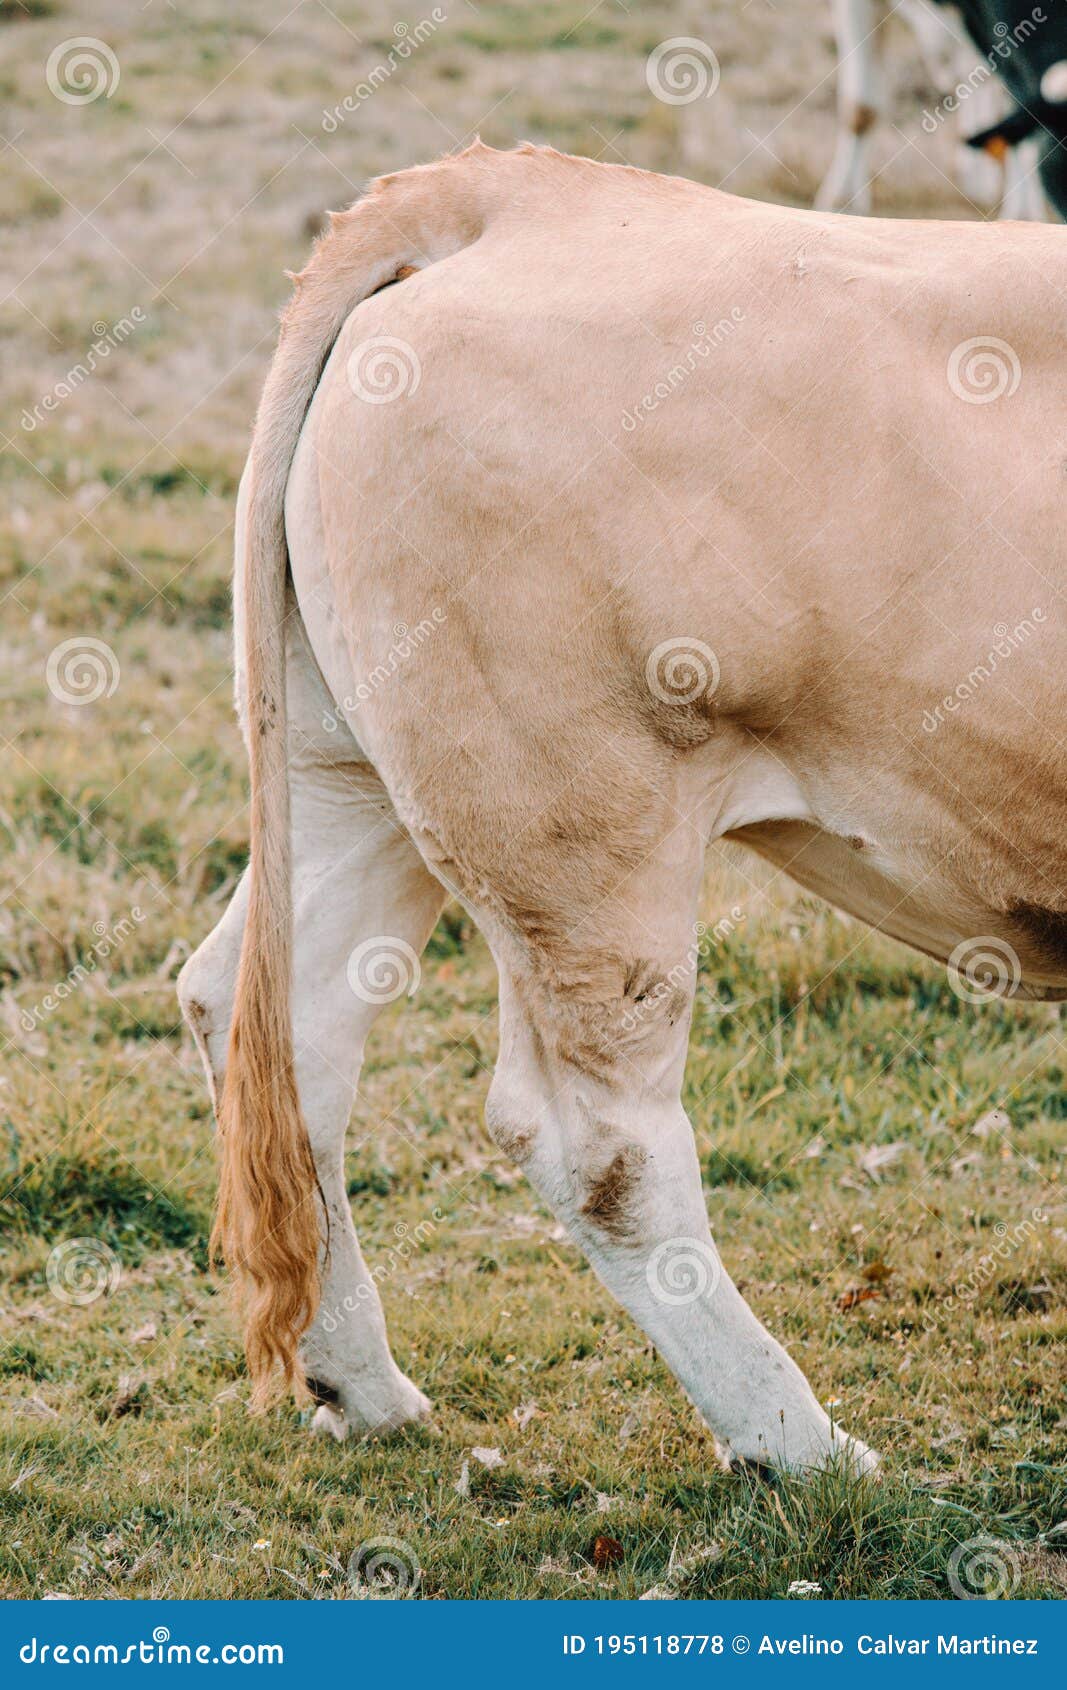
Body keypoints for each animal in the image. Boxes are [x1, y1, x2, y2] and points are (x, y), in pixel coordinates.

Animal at [178, 141, 1067, 1474]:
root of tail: (513, 195)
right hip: (579, 827)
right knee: (597, 1143)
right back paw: (800, 1445)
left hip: (350, 773)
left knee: (275, 1024)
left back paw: (363, 1385)